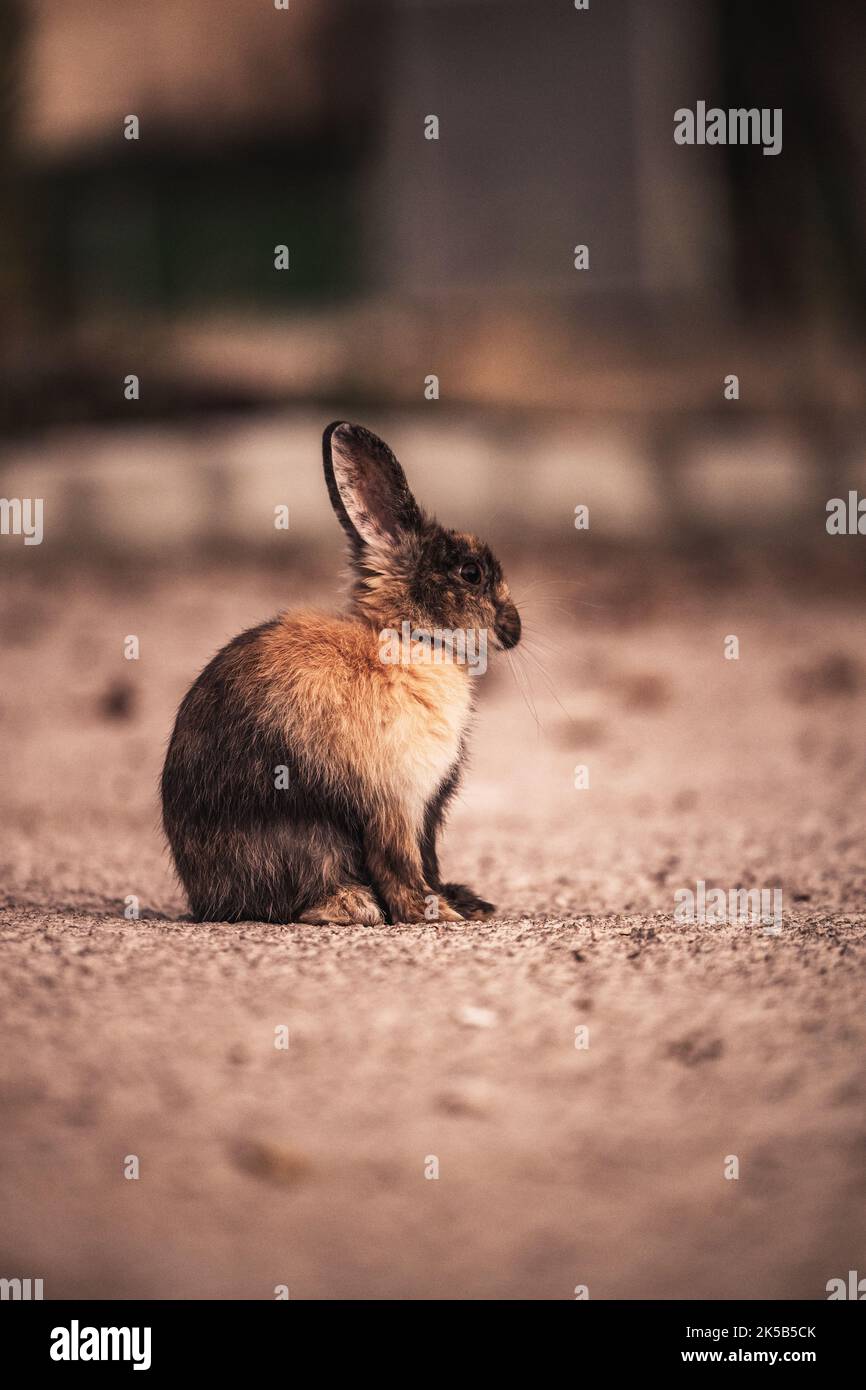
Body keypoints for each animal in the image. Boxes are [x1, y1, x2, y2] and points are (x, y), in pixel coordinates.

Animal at [161, 422, 521, 925]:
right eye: (470, 573)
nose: (514, 629)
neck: (409, 638)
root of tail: (207, 900)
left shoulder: (427, 809)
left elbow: (428, 858)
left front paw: (463, 904)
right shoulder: (395, 800)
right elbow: (401, 865)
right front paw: (434, 913)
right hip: (309, 837)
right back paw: (353, 905)